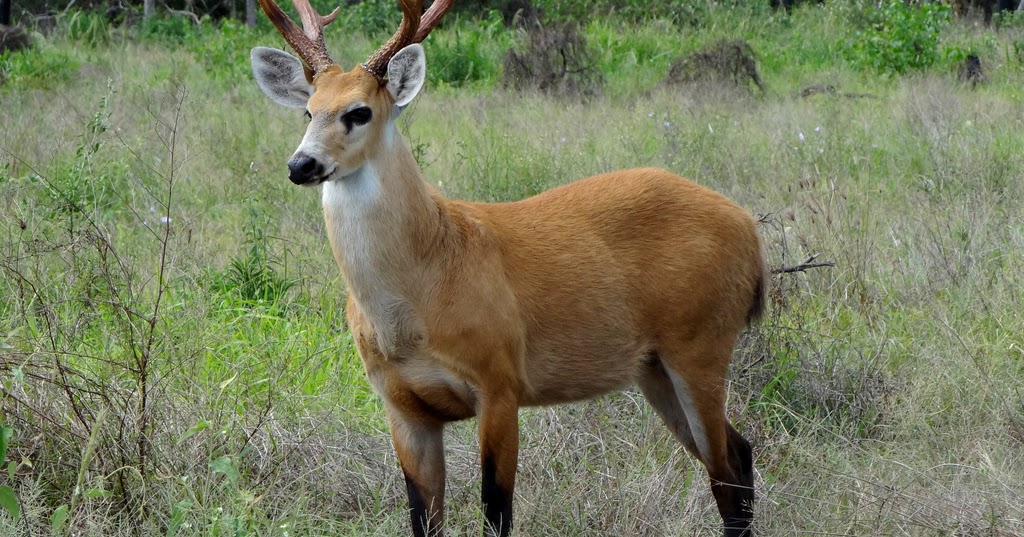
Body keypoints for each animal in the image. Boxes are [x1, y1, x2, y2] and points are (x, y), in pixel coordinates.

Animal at [249, 1, 765, 535]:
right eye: (308, 110)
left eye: (359, 112)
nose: (301, 164)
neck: (420, 289)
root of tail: (749, 231)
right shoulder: (400, 403)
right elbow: (422, 516)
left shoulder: (499, 381)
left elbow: (496, 509)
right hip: (654, 367)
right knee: (739, 455)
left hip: (701, 342)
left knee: (726, 474)